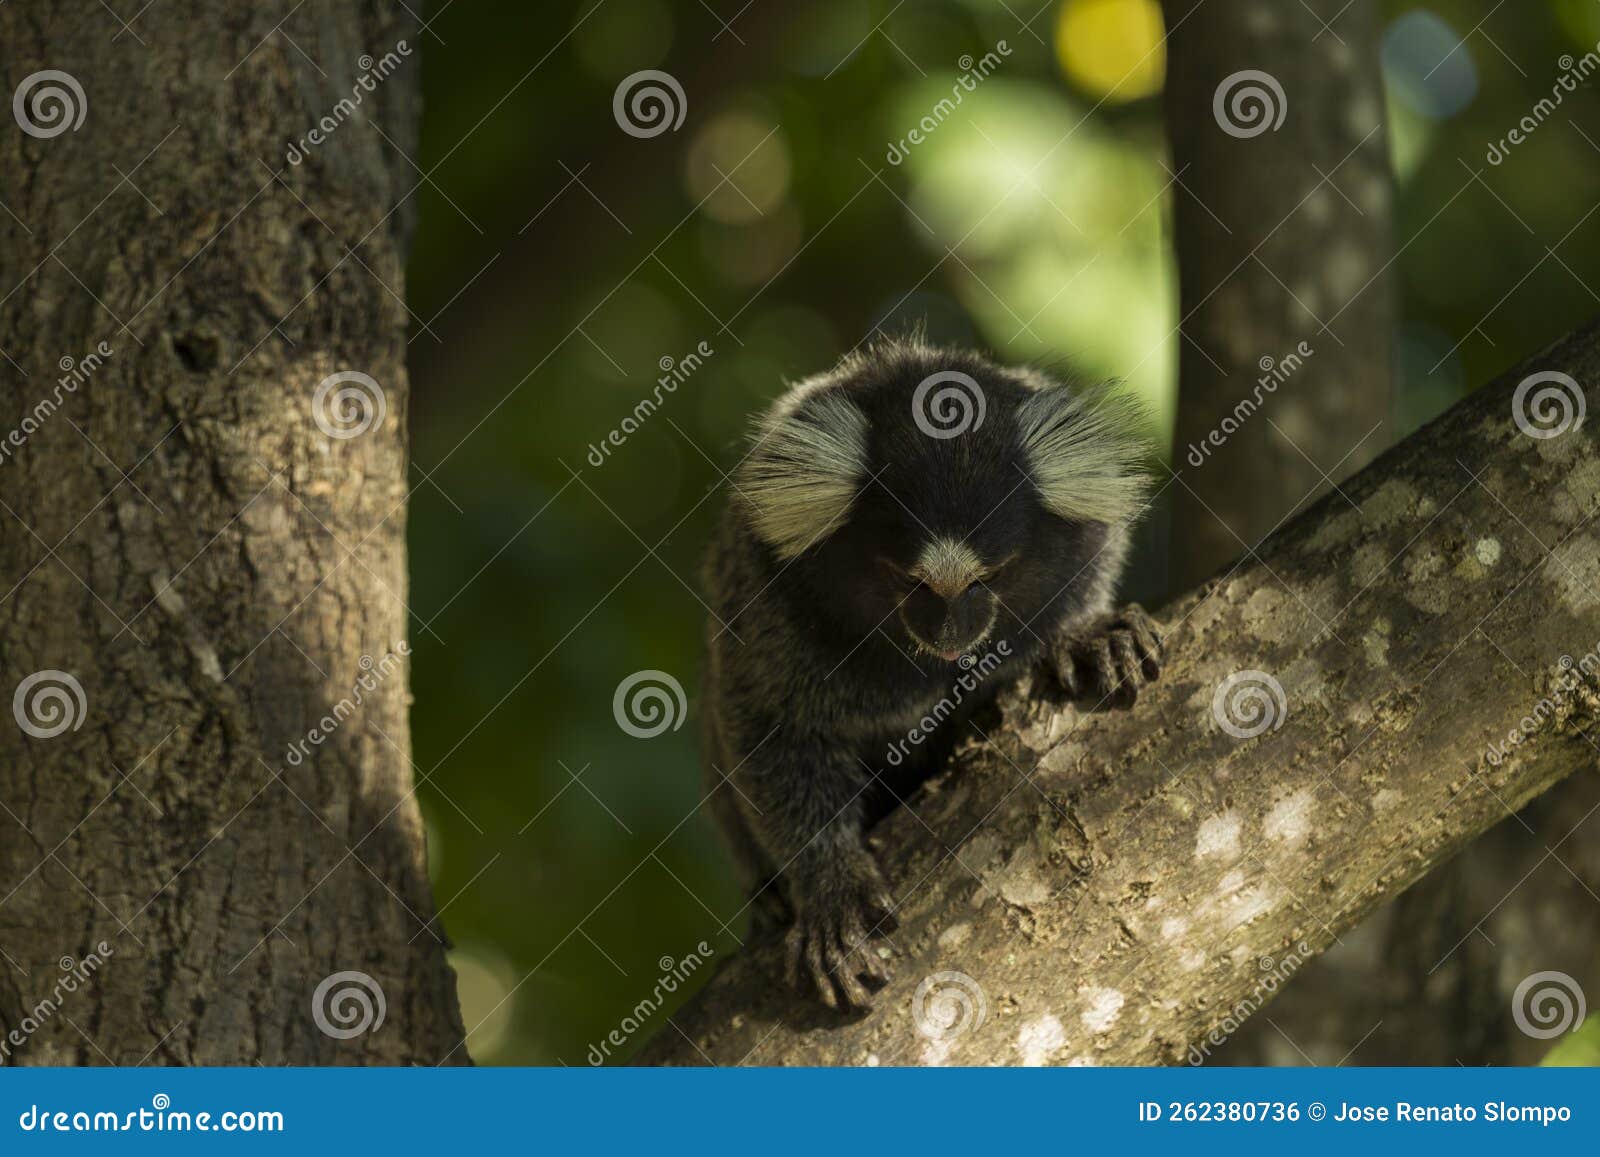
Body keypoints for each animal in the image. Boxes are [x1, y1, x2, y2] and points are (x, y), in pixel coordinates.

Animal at [699, 337, 1162, 1008]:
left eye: (986, 578)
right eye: (911, 581)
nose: (950, 633)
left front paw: (1079, 634)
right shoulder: (766, 580)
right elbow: (769, 728)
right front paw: (830, 888)